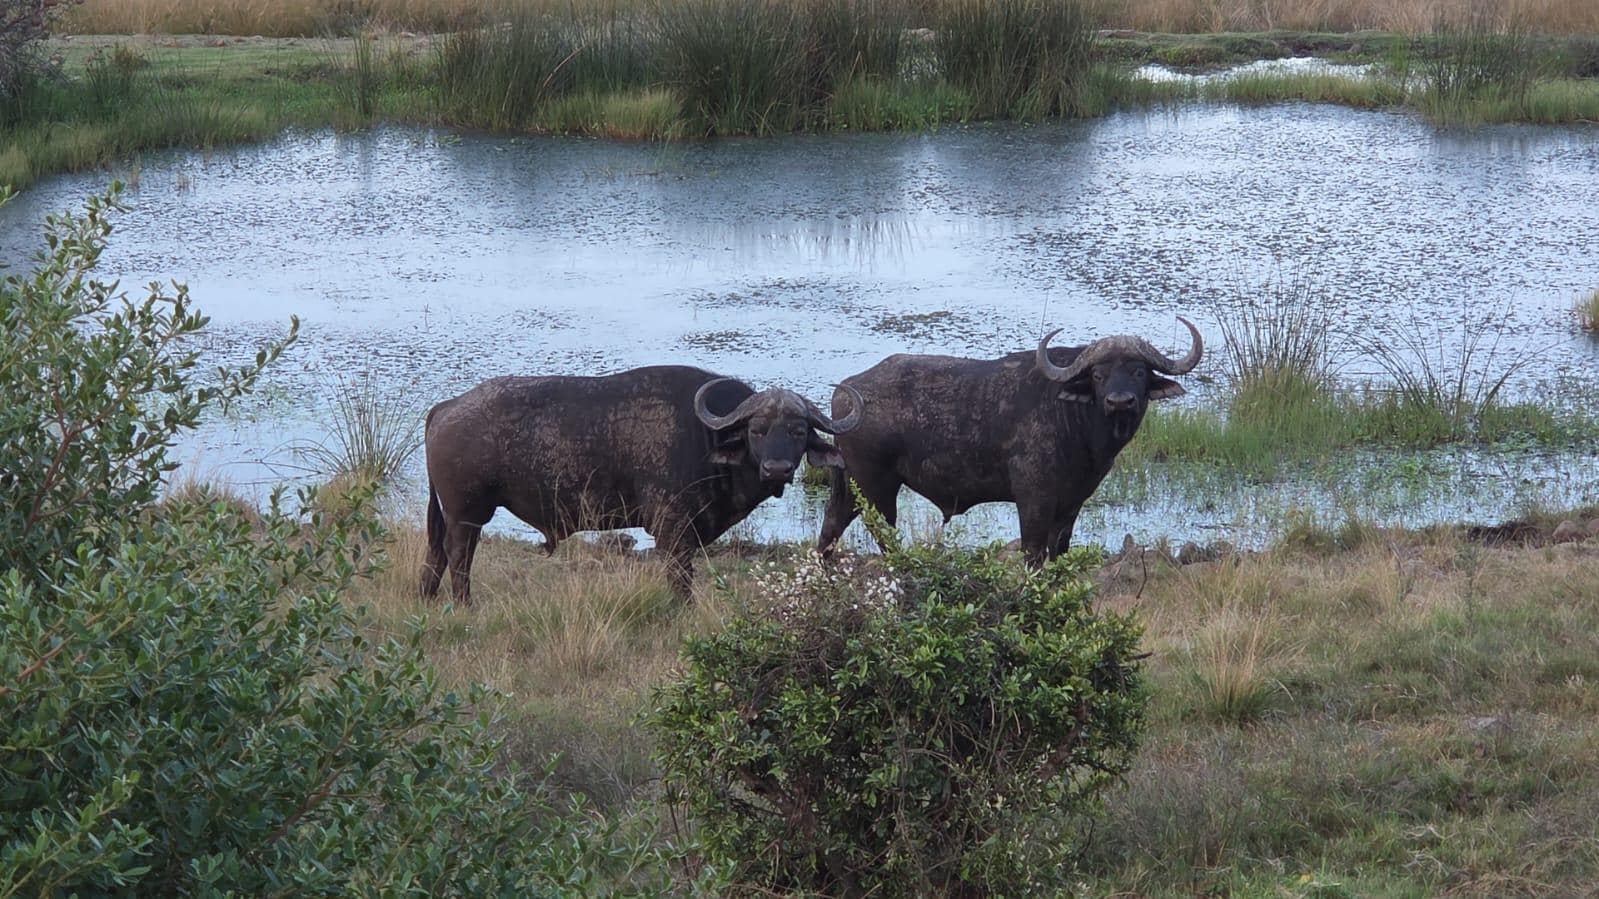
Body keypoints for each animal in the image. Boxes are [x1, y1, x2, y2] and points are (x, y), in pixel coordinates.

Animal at [420, 365, 862, 602]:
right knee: (458, 557)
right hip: (467, 514)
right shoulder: (672, 529)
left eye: (798, 431)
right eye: (757, 430)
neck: (705, 437)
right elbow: (680, 579)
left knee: (437, 554)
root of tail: (446, 408)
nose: (777, 468)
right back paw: (465, 604)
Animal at [816, 318, 1203, 563]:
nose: (1119, 401)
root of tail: (846, 393)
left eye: (1139, 371)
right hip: (876, 488)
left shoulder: (1072, 504)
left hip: (852, 486)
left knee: (832, 524)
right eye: (1098, 374)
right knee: (882, 533)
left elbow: (1059, 551)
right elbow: (1033, 552)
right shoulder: (1033, 500)